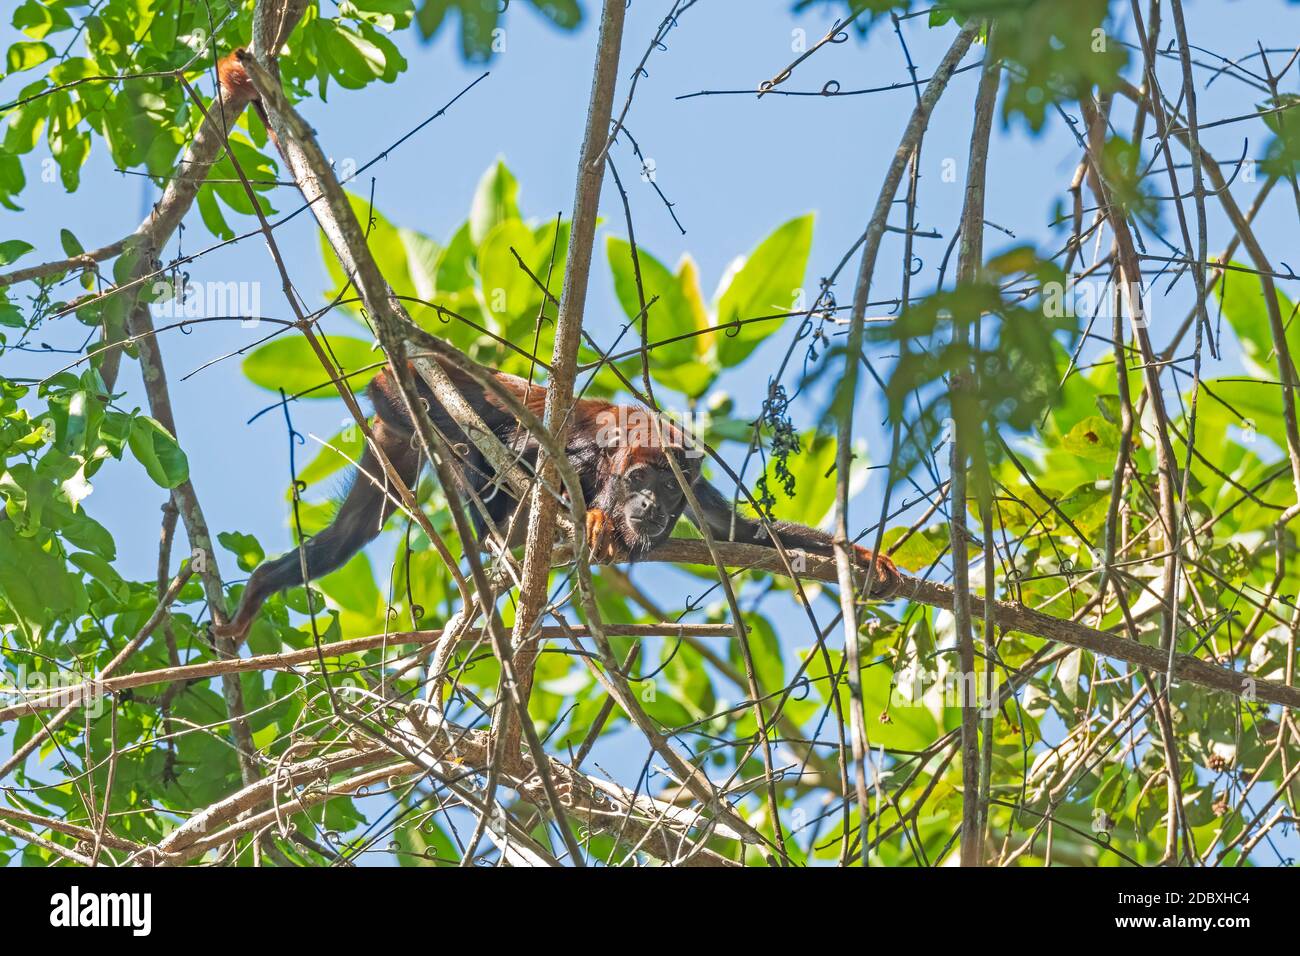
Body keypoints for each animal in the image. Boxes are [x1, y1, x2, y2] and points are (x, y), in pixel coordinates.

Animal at [215, 343, 902, 641]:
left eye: (669, 490)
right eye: (638, 480)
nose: (648, 508)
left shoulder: (699, 487)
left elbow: (744, 533)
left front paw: (867, 559)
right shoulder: (600, 441)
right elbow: (538, 452)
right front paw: (597, 520)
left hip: (387, 431)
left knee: (353, 532)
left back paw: (260, 588)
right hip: (405, 392)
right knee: (473, 445)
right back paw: (496, 531)